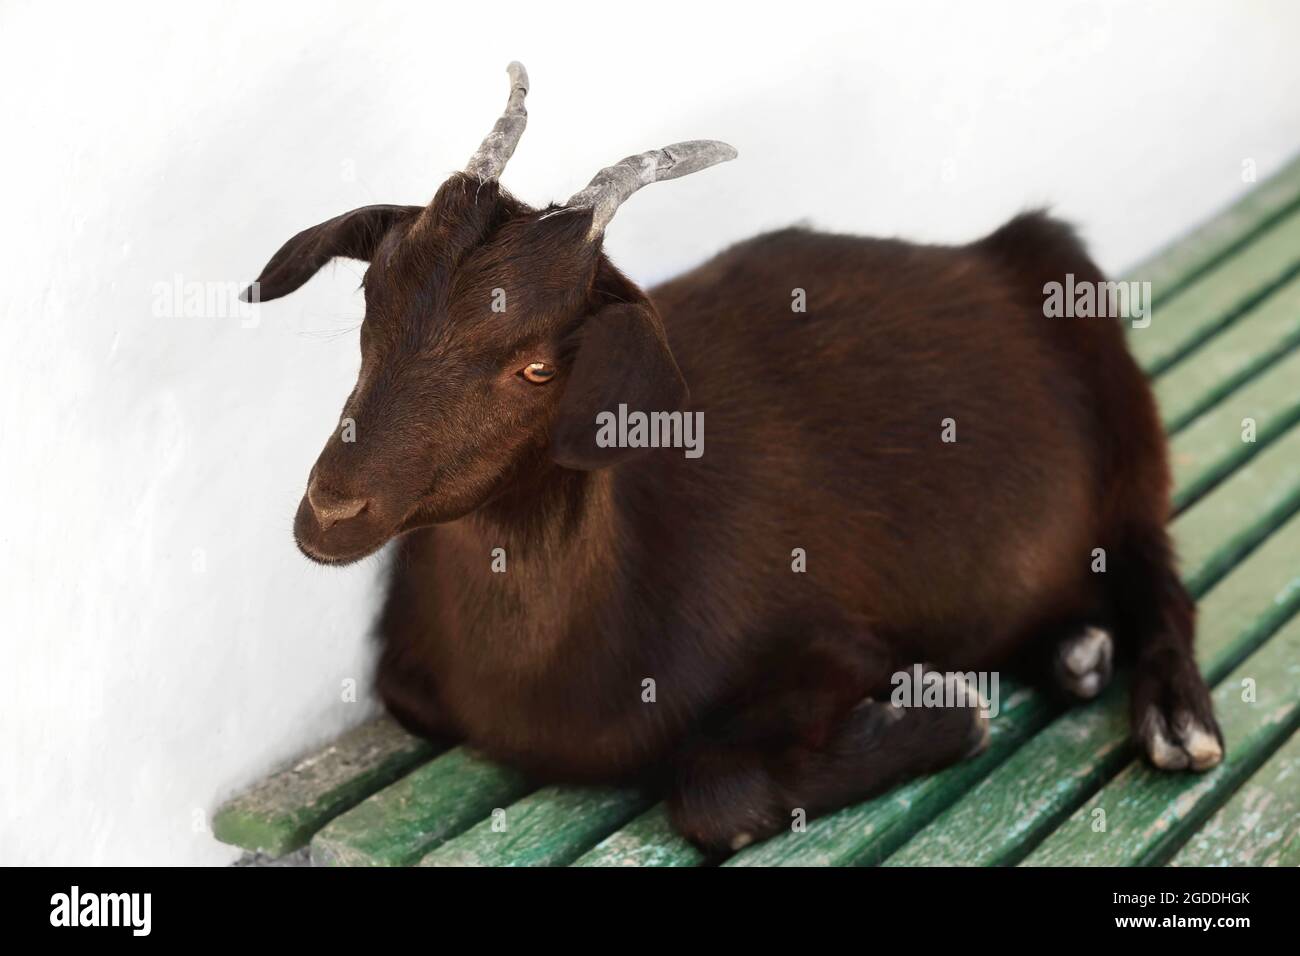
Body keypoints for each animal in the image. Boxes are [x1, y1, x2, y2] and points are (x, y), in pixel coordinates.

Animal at [243, 63, 1223, 853]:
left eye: (537, 366)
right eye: (372, 299)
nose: (331, 511)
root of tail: (988, 252)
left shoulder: (831, 642)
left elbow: (714, 793)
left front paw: (949, 714)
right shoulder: (407, 672)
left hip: (1125, 431)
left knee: (1155, 565)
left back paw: (1176, 717)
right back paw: (1075, 649)